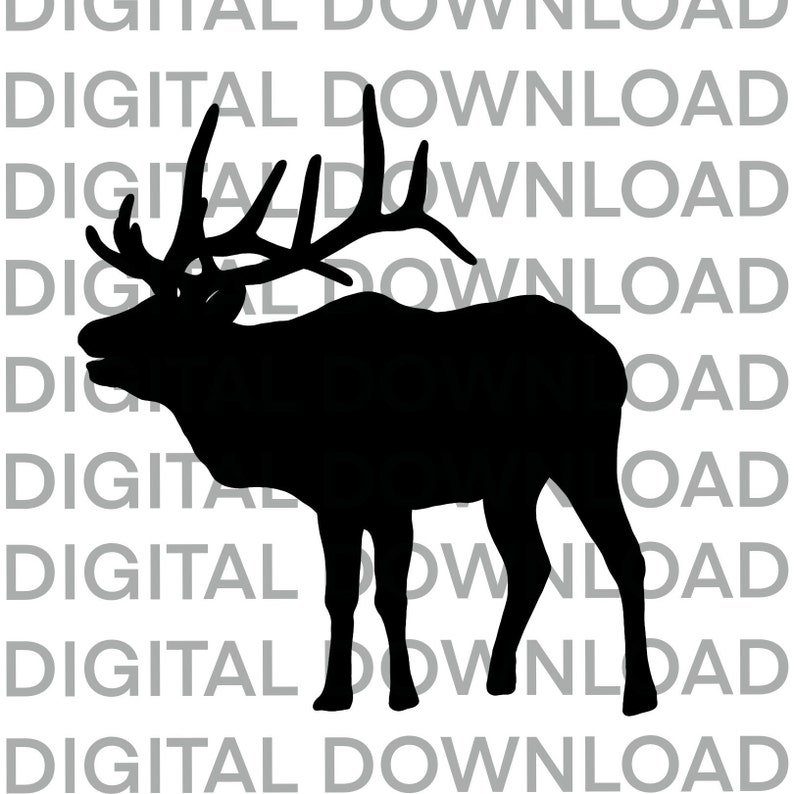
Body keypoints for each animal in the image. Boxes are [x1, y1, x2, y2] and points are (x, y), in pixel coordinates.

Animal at [78, 85, 658, 717]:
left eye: (170, 320)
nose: (89, 333)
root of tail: (611, 357)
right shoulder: (332, 503)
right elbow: (340, 596)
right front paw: (333, 695)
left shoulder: (388, 495)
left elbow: (391, 597)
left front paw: (403, 695)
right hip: (512, 481)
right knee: (532, 563)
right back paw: (498, 678)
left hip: (585, 451)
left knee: (625, 555)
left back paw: (638, 695)